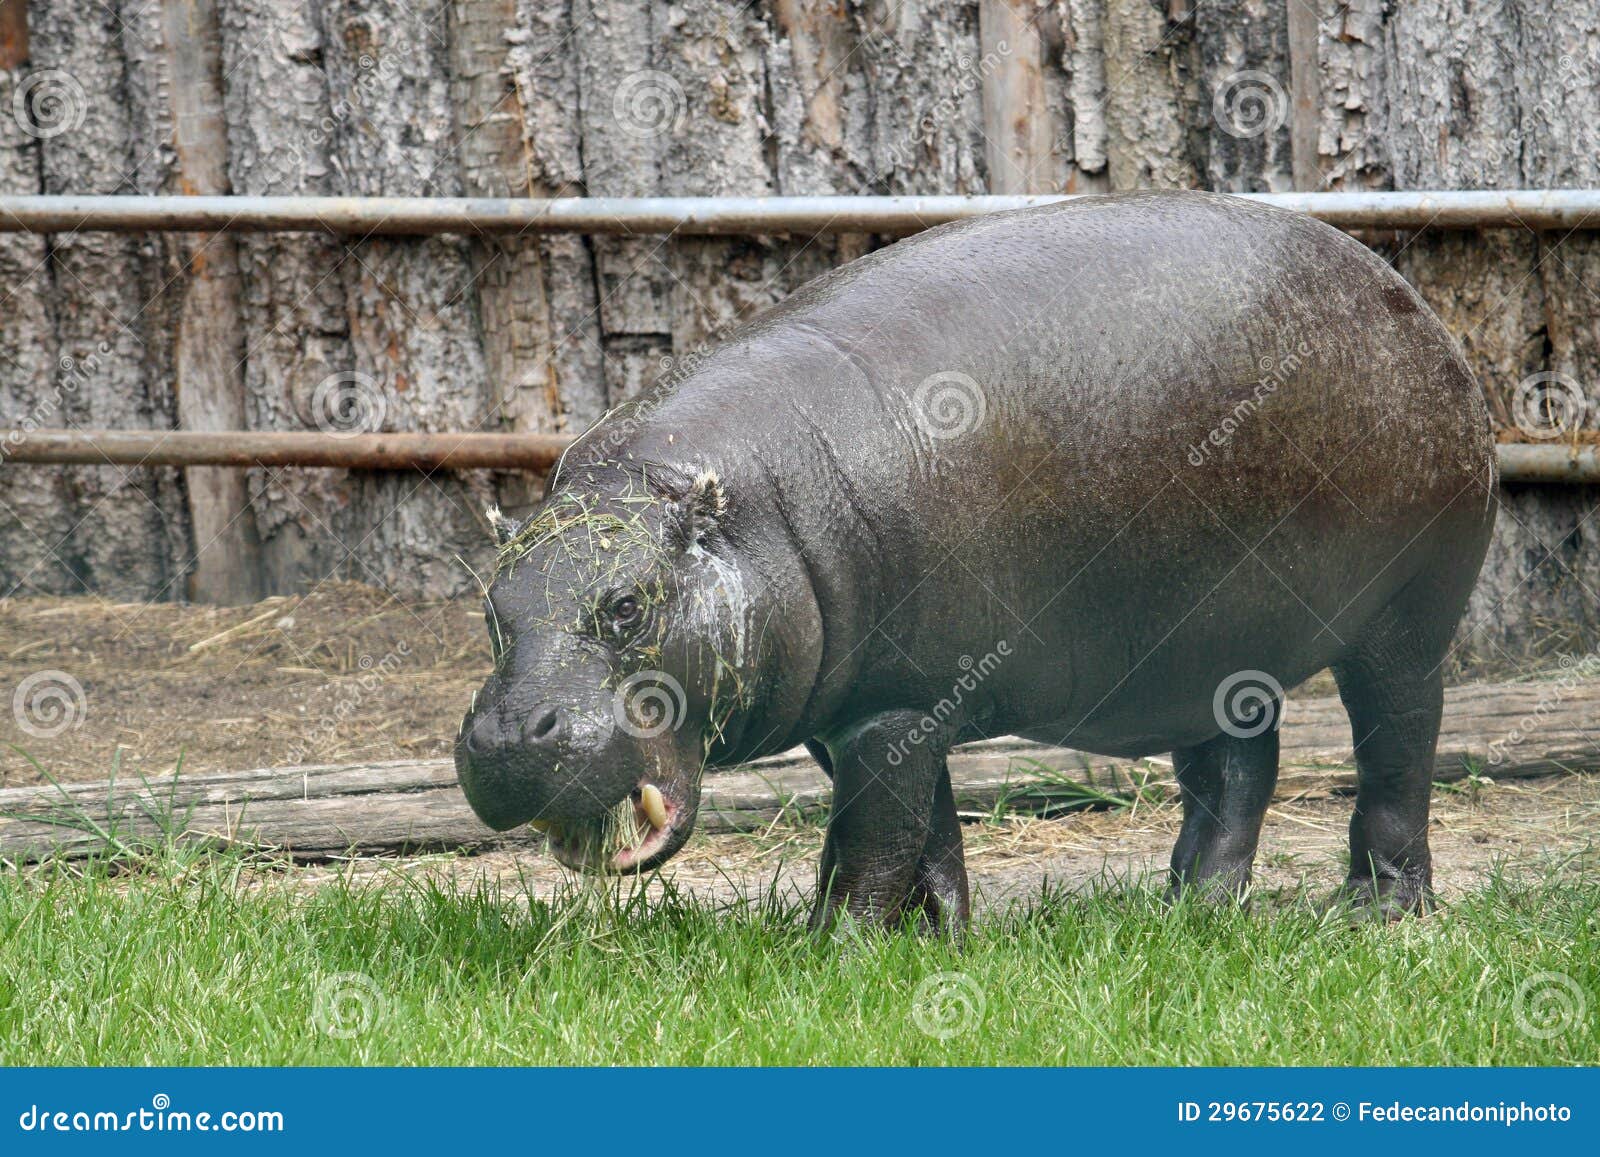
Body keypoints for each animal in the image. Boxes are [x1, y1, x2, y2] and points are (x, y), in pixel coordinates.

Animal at [456, 190, 1495, 932]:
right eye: (492, 607)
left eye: (628, 604)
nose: (504, 736)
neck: (750, 513)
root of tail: (1415, 310)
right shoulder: (879, 703)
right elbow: (929, 833)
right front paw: (940, 938)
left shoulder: (890, 710)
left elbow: (870, 842)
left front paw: (833, 950)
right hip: (1211, 643)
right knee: (1239, 766)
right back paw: (1189, 912)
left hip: (1407, 621)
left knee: (1397, 753)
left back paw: (1376, 914)